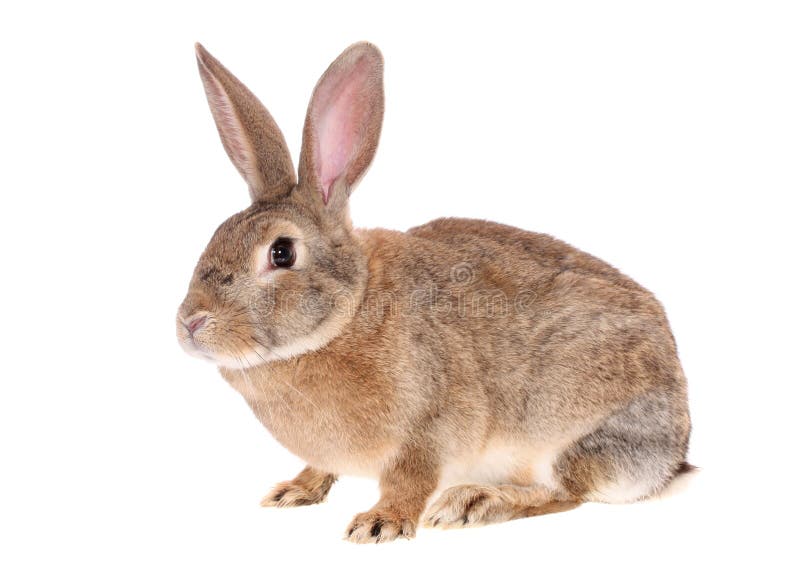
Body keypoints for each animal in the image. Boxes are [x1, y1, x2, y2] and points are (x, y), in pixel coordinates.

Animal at [177, 41, 693, 544]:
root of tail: (673, 455)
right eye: (216, 234)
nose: (191, 323)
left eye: (281, 253)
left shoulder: (431, 426)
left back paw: (473, 502)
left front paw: (379, 523)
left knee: (564, 493)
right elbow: (320, 468)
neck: (347, 314)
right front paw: (294, 491)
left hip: (568, 434)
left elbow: (410, 477)